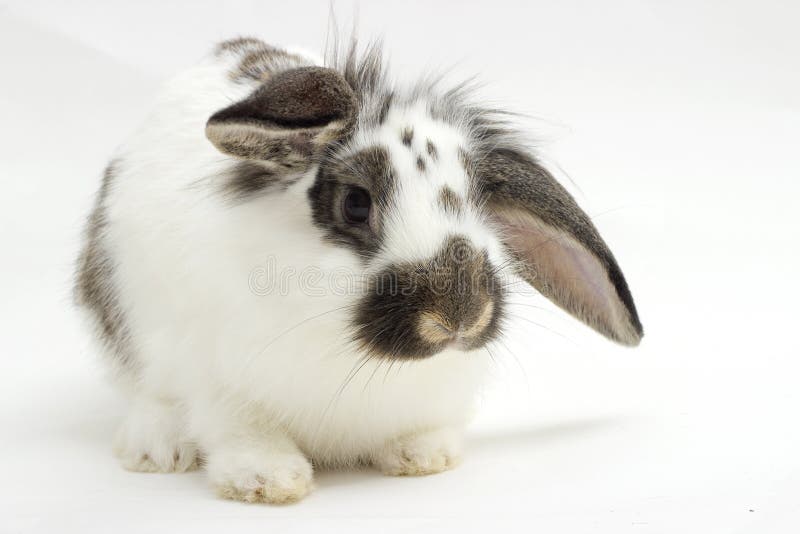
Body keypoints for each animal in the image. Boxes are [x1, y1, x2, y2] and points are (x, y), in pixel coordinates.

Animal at [74, 36, 643, 504]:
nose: (459, 316)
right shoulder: (220, 382)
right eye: (354, 203)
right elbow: (243, 431)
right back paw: (157, 451)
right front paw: (268, 482)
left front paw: (424, 458)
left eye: (479, 200)